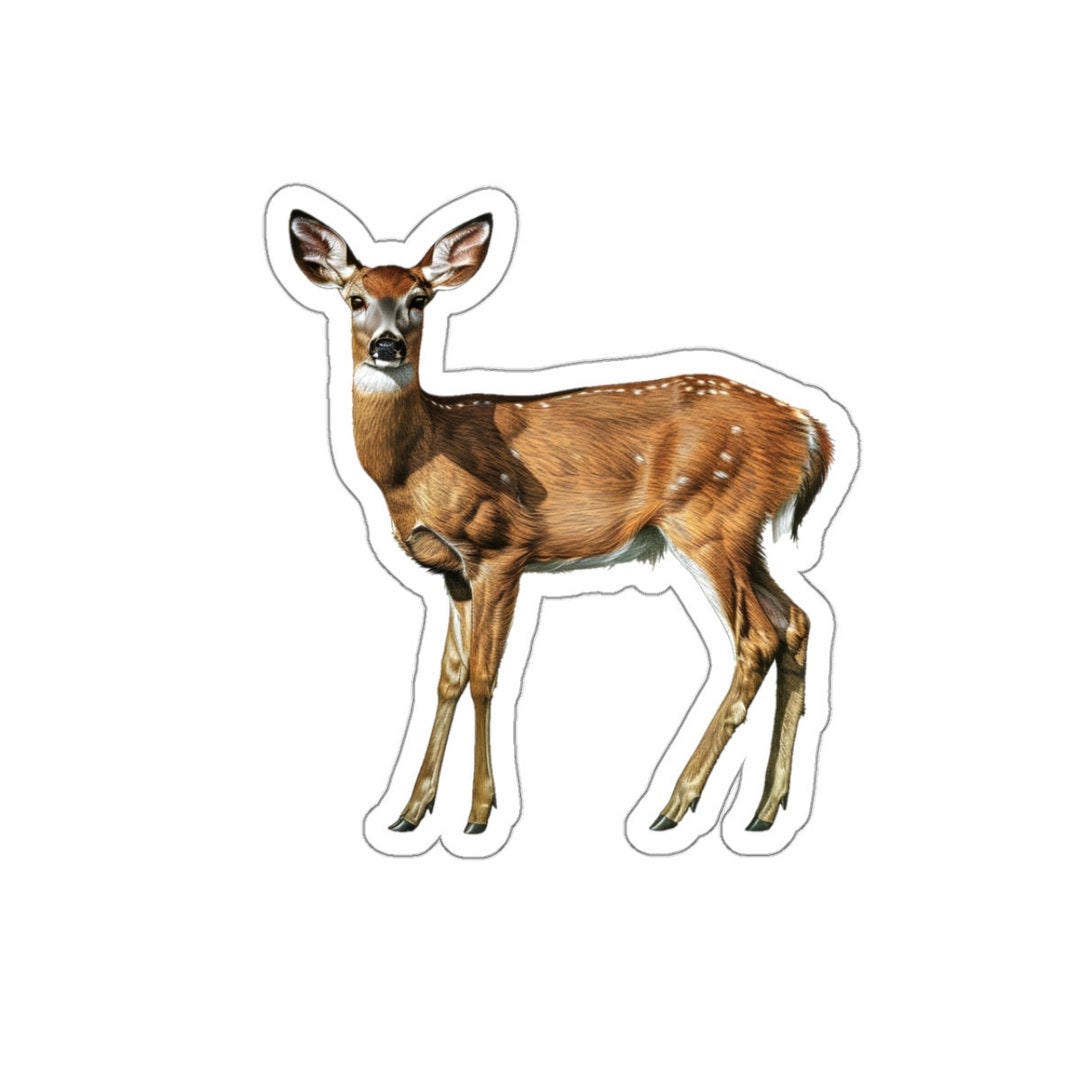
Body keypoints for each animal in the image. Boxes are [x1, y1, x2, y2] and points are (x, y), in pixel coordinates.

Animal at [273, 189, 851, 852]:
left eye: (419, 298)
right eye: (355, 298)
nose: (387, 345)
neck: (419, 459)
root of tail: (811, 429)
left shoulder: (500, 548)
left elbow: (484, 676)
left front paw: (478, 813)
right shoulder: (451, 571)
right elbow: (445, 677)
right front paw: (410, 811)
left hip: (709, 519)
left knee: (756, 637)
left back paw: (674, 806)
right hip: (743, 534)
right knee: (797, 620)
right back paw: (765, 809)